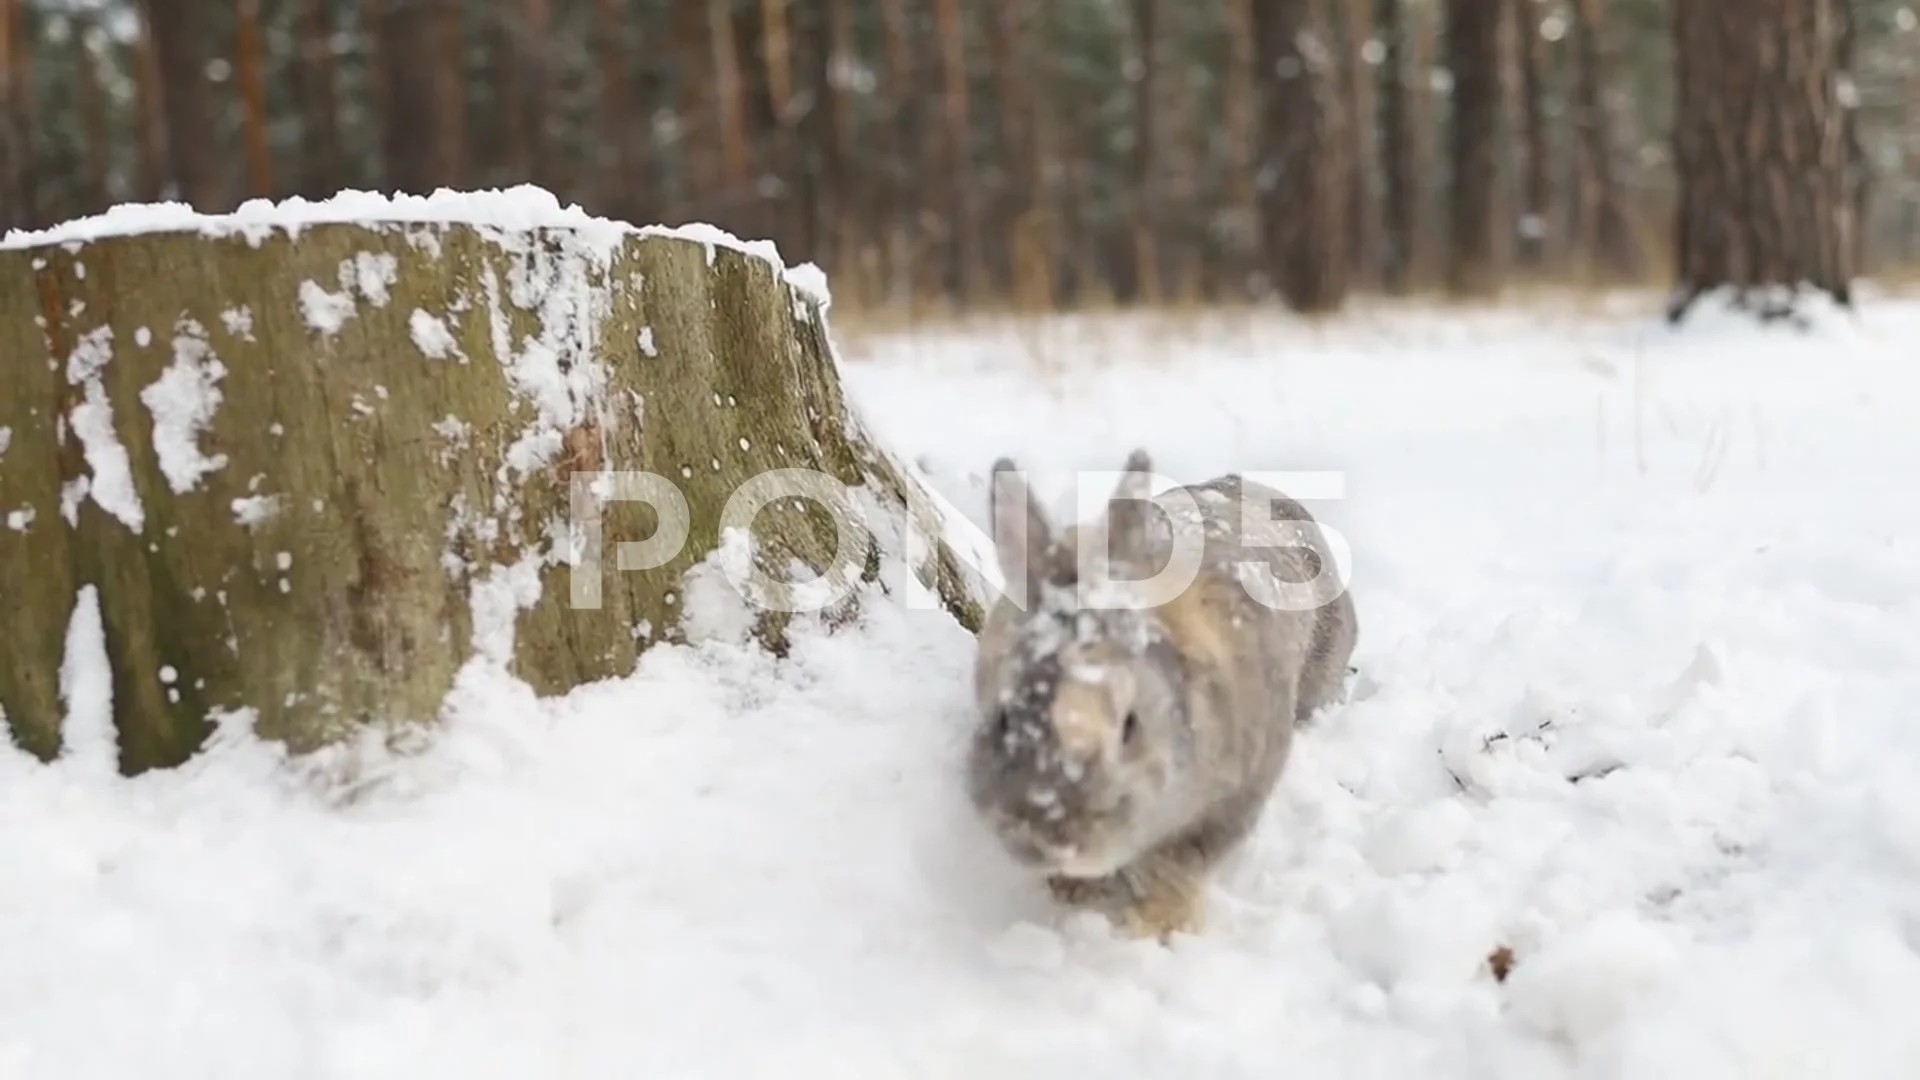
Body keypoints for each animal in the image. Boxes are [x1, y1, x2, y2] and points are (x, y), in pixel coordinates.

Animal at [966, 449, 1357, 941]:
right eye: (1004, 718)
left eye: (1130, 726)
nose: (1050, 837)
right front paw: (1072, 889)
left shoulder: (1234, 800)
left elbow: (1179, 865)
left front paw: (1151, 926)